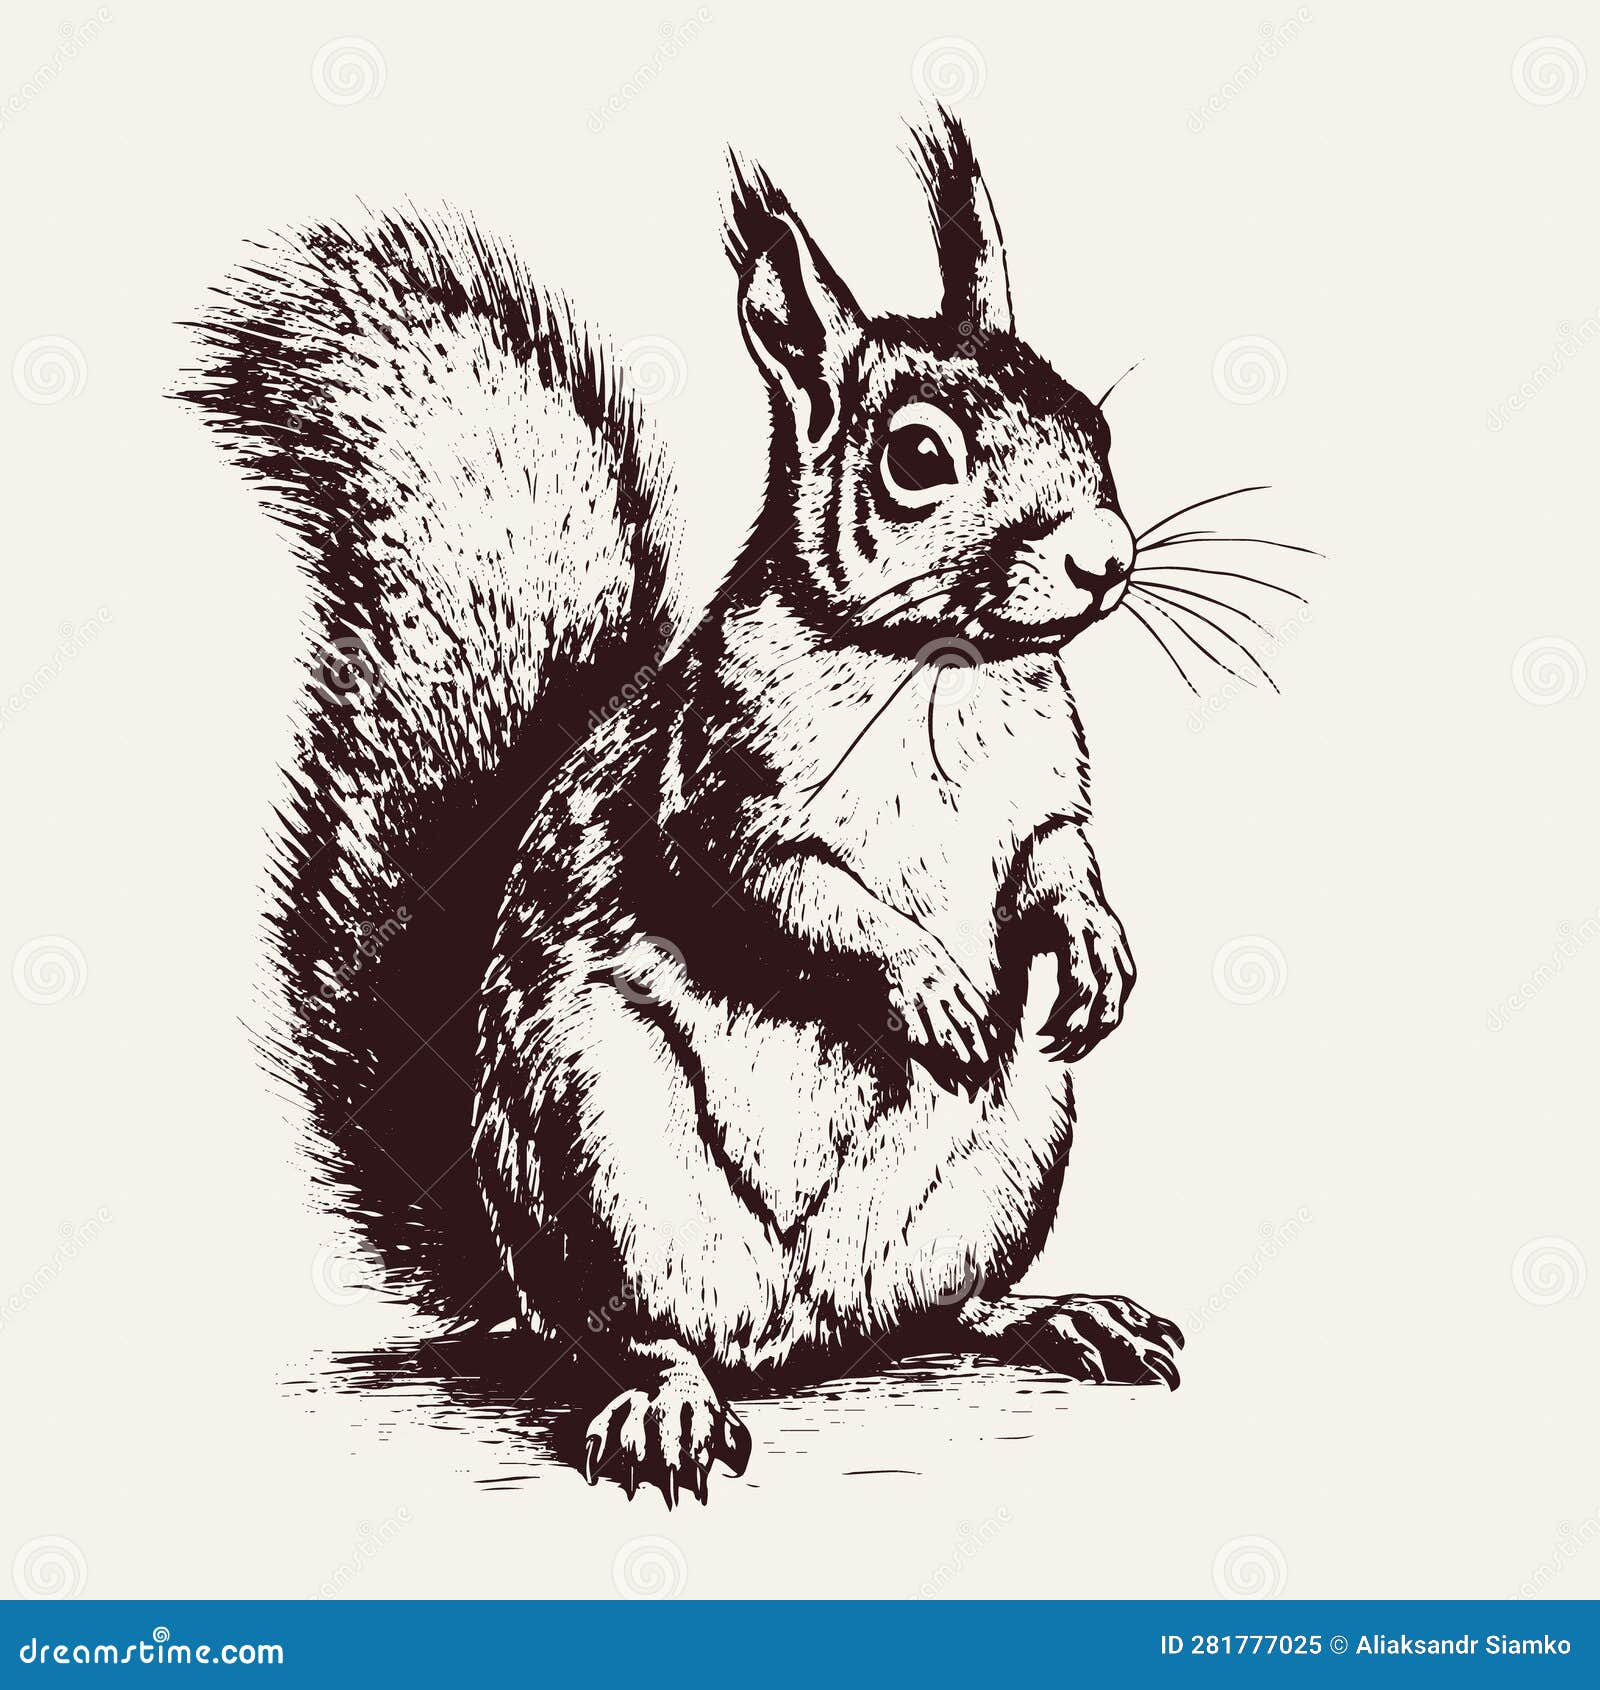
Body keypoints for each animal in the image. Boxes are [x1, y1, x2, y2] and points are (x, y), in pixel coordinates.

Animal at [181, 107, 1188, 1505]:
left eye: (1089, 422)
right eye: (916, 459)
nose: (1105, 557)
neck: (942, 674)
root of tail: (802, 1329)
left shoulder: (1042, 792)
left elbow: (1055, 855)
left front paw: (1094, 950)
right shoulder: (715, 785)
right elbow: (787, 892)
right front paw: (928, 987)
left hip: (1014, 1150)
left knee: (943, 1310)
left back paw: (1055, 1314)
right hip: (600, 1159)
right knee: (621, 1334)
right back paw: (665, 1400)